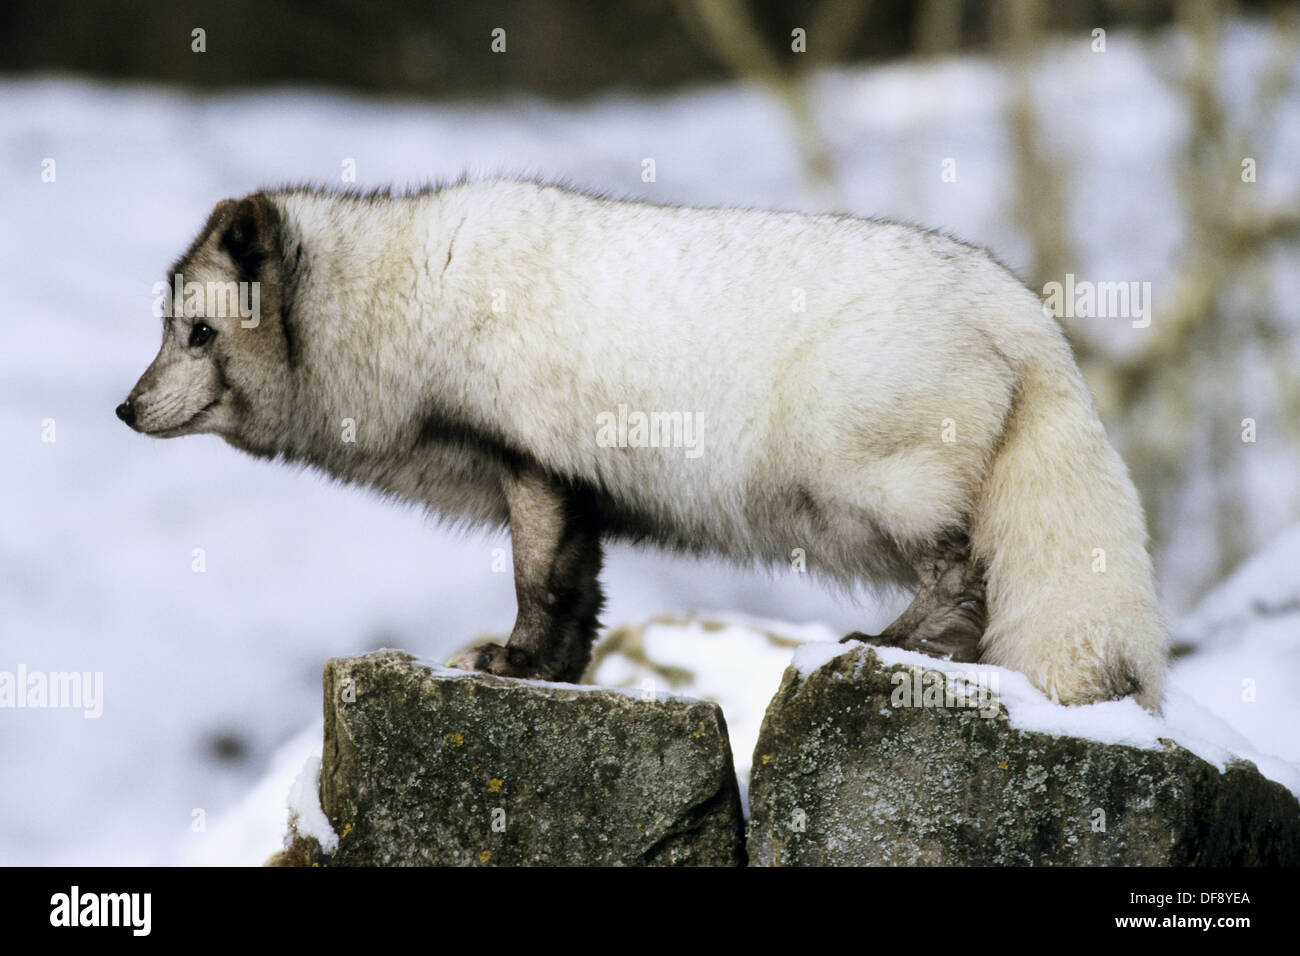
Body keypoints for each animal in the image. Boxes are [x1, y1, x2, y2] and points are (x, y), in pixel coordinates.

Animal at [118, 180, 1166, 711]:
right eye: (165, 328)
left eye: (198, 334)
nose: (124, 411)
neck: (405, 299)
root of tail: (1025, 315)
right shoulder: (576, 484)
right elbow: (580, 594)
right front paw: (554, 674)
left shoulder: (533, 462)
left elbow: (539, 582)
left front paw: (511, 664)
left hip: (883, 479)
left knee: (964, 577)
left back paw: (892, 644)